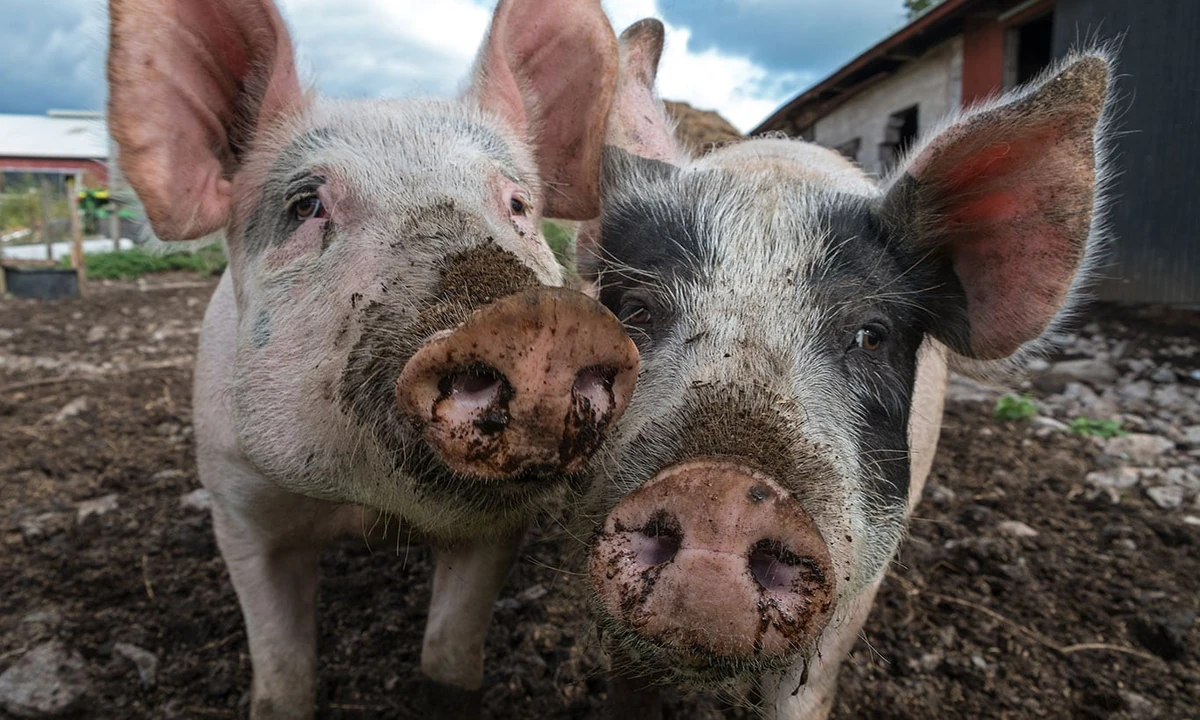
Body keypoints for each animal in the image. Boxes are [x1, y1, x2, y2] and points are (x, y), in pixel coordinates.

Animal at [106, 0, 637, 717]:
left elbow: (449, 657)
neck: (363, 505)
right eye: (305, 205)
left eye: (518, 205)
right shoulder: (236, 502)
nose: (542, 321)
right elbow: (282, 681)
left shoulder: (500, 525)